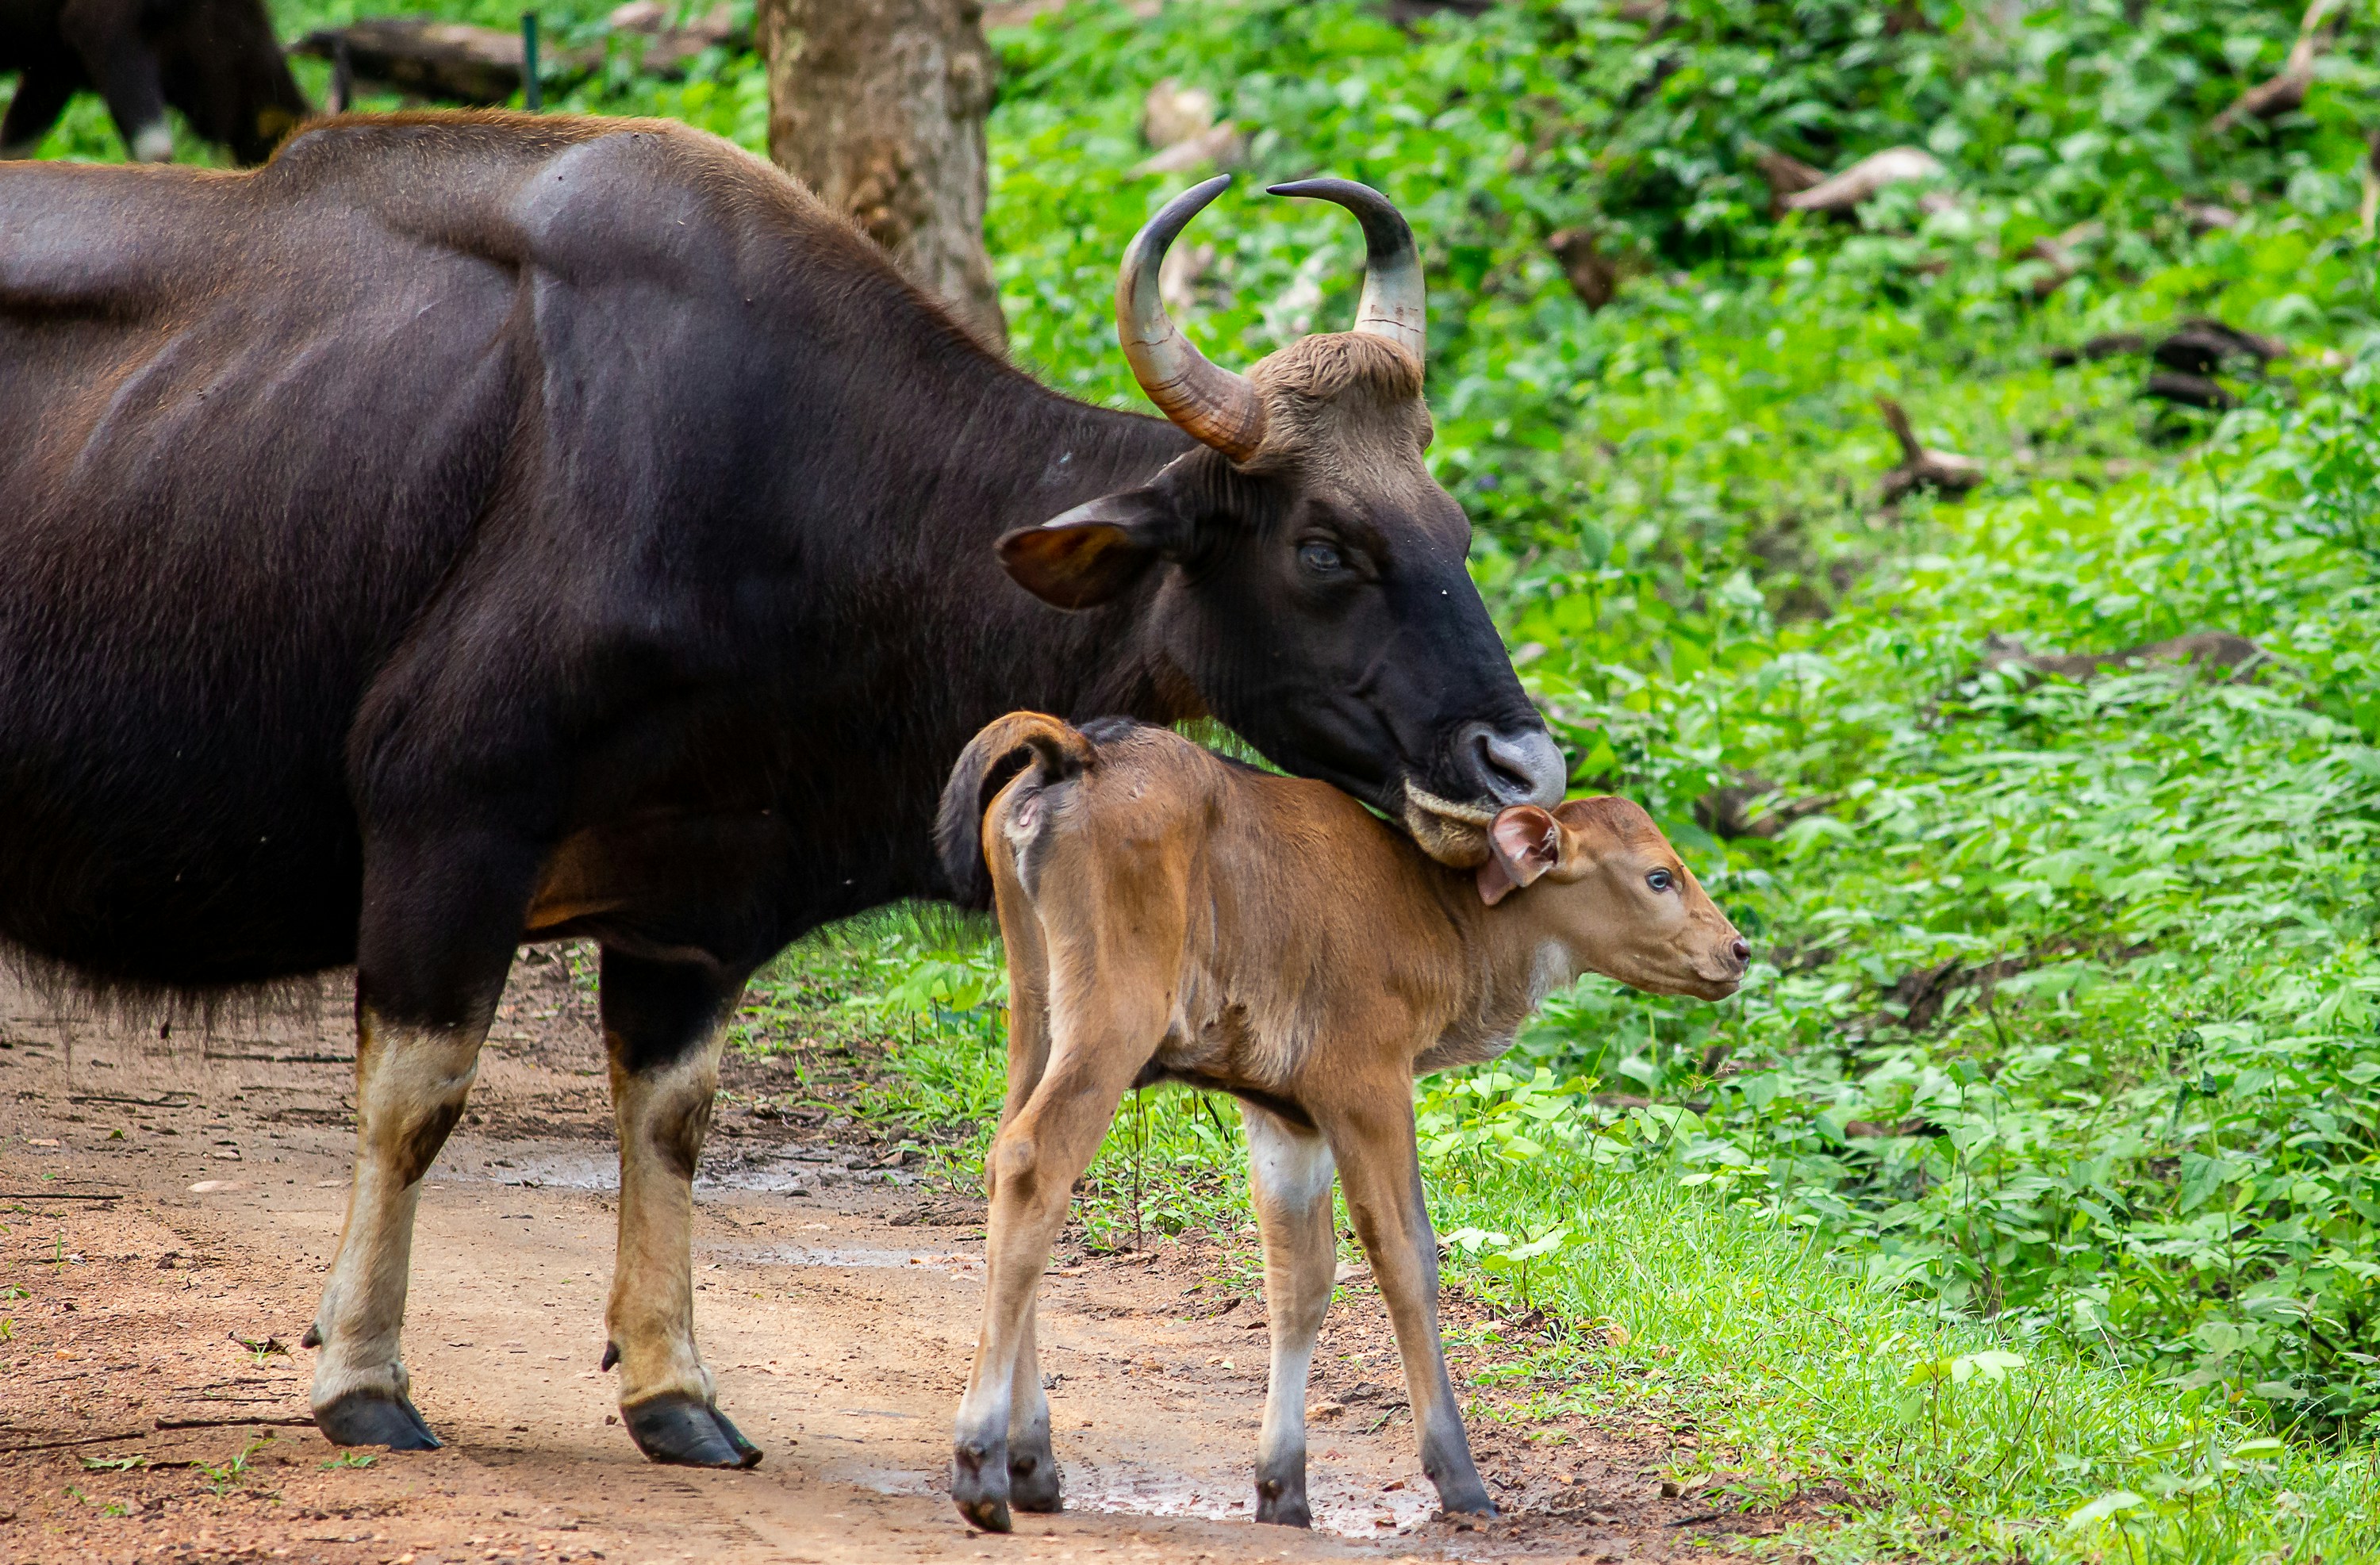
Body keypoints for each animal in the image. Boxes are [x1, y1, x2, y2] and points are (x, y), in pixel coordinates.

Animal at [0, 112, 1567, 1470]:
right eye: (1325, 546)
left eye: (1454, 526)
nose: (1521, 767)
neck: (789, 486)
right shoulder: (450, 824)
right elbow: (416, 1103)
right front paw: (363, 1379)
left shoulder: (690, 908)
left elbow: (672, 1120)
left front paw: (675, 1393)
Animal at [934, 714, 1747, 1530]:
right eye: (1659, 876)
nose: (1735, 949)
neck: (1443, 925)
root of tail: (1075, 752)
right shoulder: (1367, 1083)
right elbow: (1406, 1255)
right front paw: (1460, 1478)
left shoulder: (1287, 1115)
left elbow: (1302, 1277)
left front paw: (1282, 1488)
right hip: (1115, 1011)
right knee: (1036, 1161)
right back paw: (982, 1467)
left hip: (1035, 1008)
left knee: (1001, 1160)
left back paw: (1033, 1463)